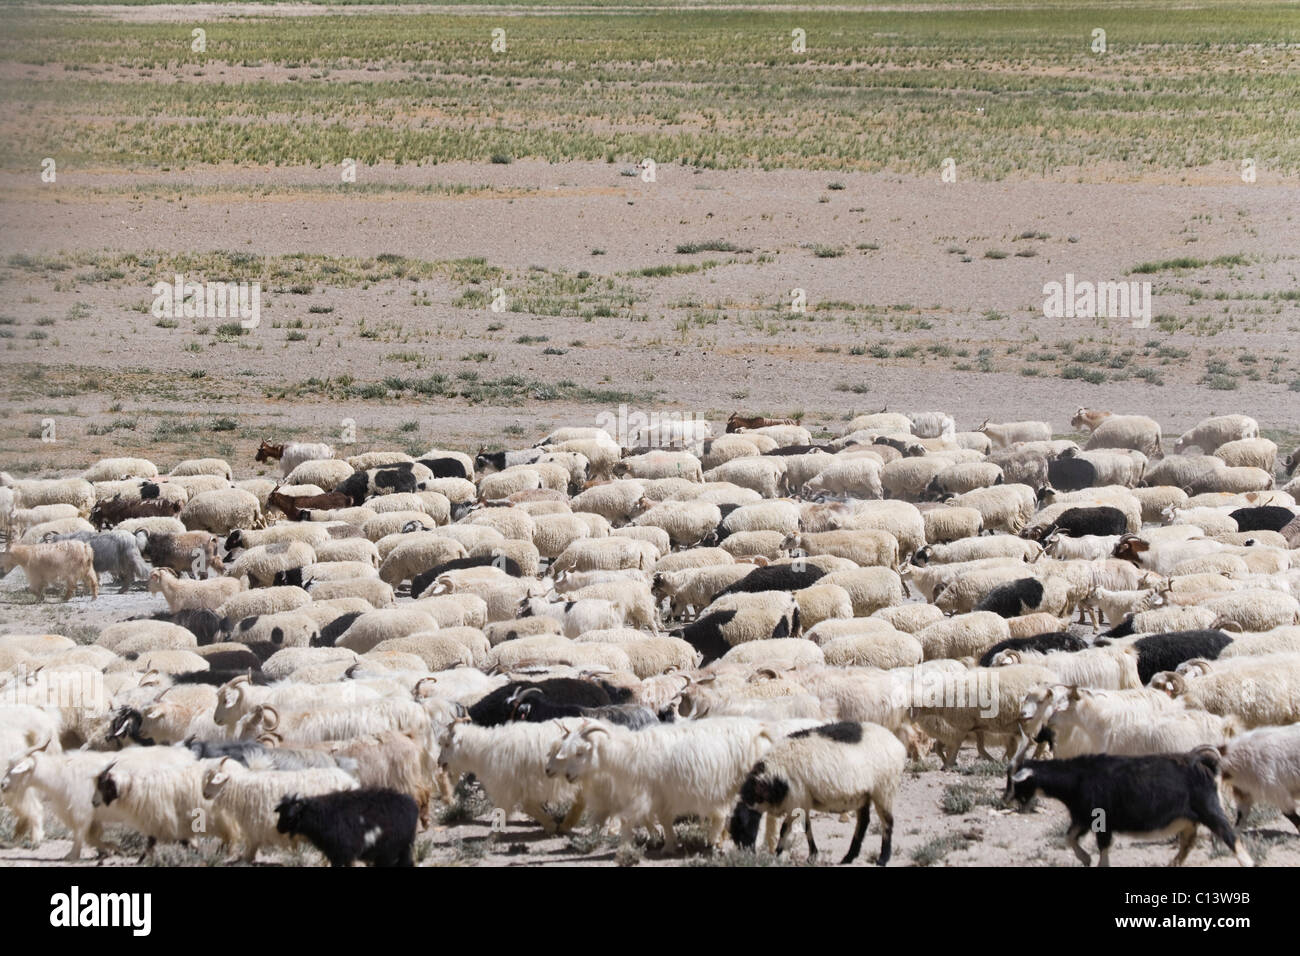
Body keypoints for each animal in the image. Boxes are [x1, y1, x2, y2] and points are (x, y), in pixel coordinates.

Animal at [738, 721, 905, 864]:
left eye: (746, 829)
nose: (745, 856)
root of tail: (898, 744)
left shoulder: (796, 799)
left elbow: (786, 828)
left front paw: (781, 853)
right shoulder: (802, 802)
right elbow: (806, 827)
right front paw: (810, 855)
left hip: (884, 789)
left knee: (887, 822)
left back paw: (883, 858)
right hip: (865, 795)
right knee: (863, 822)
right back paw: (849, 857)